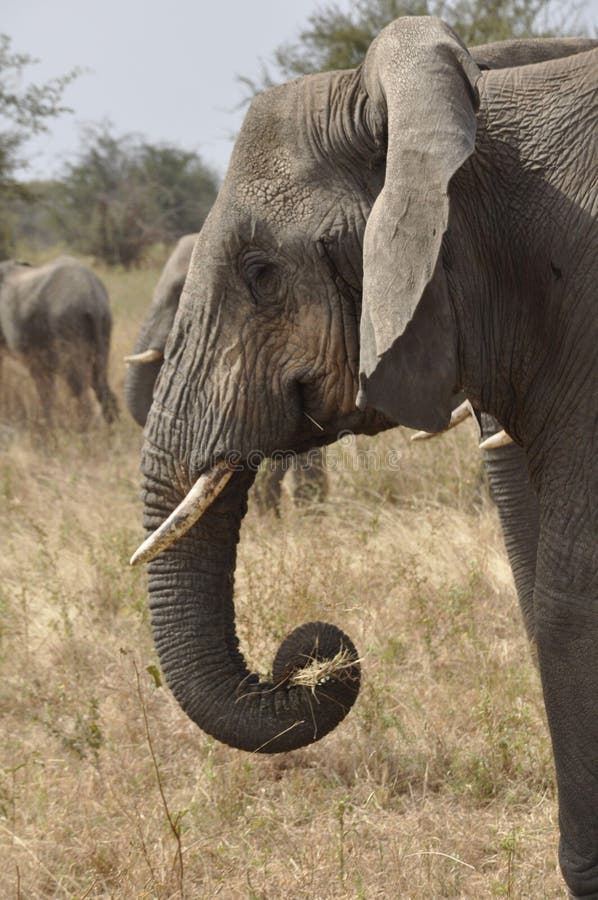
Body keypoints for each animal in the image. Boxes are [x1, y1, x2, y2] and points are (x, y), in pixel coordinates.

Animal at [0, 256, 118, 425]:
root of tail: (91, 294)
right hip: (103, 323)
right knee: (99, 380)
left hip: (67, 321)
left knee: (78, 386)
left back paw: (83, 430)